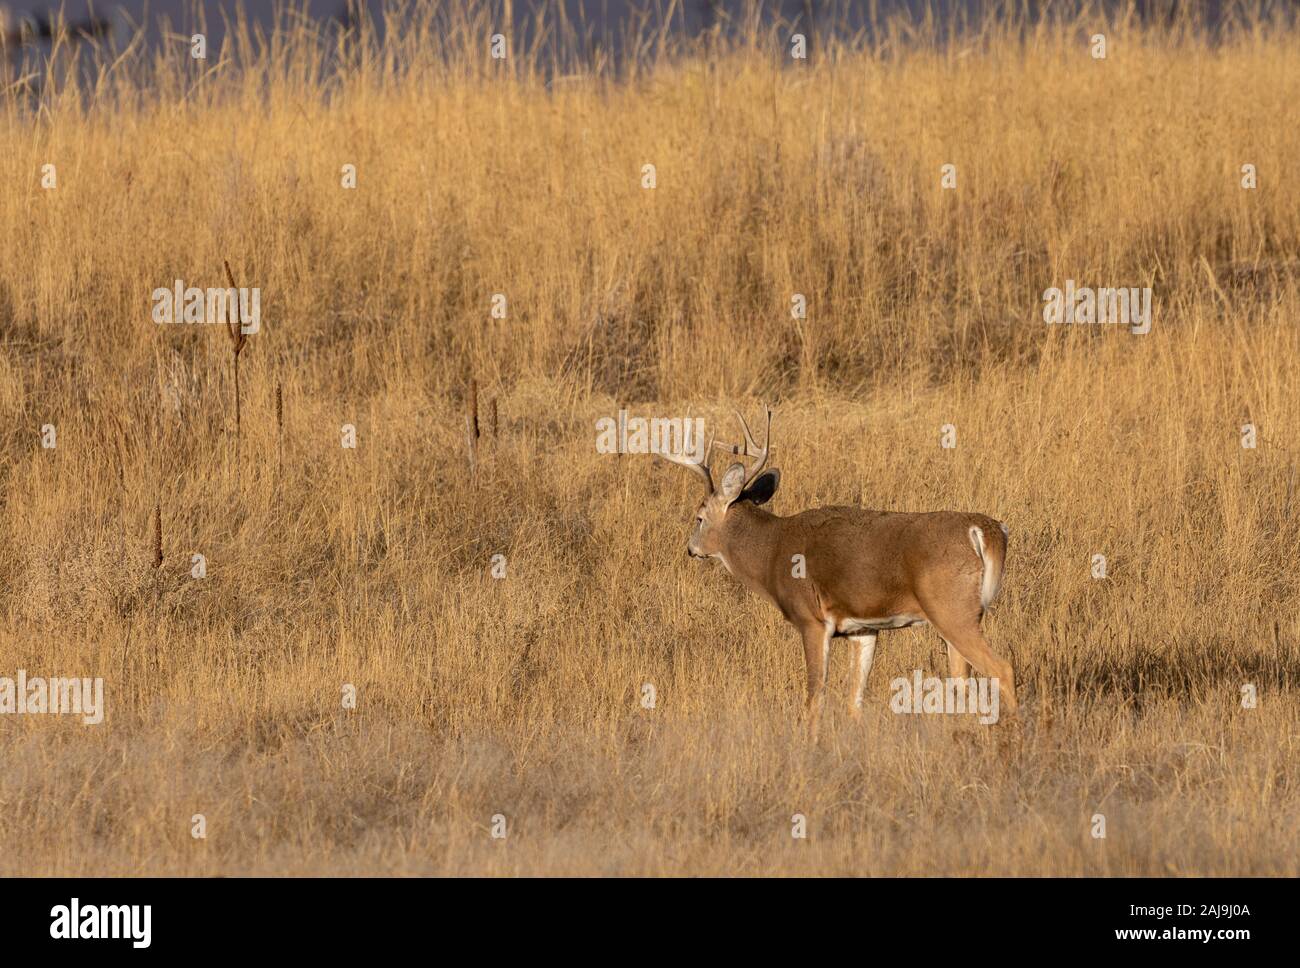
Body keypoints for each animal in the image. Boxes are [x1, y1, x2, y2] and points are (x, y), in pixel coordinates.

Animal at [660, 408, 1016, 736]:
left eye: (699, 518)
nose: (690, 549)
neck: (771, 553)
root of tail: (985, 530)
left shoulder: (811, 619)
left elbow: (814, 696)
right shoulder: (864, 628)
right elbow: (854, 700)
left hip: (951, 610)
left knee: (1002, 669)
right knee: (963, 682)